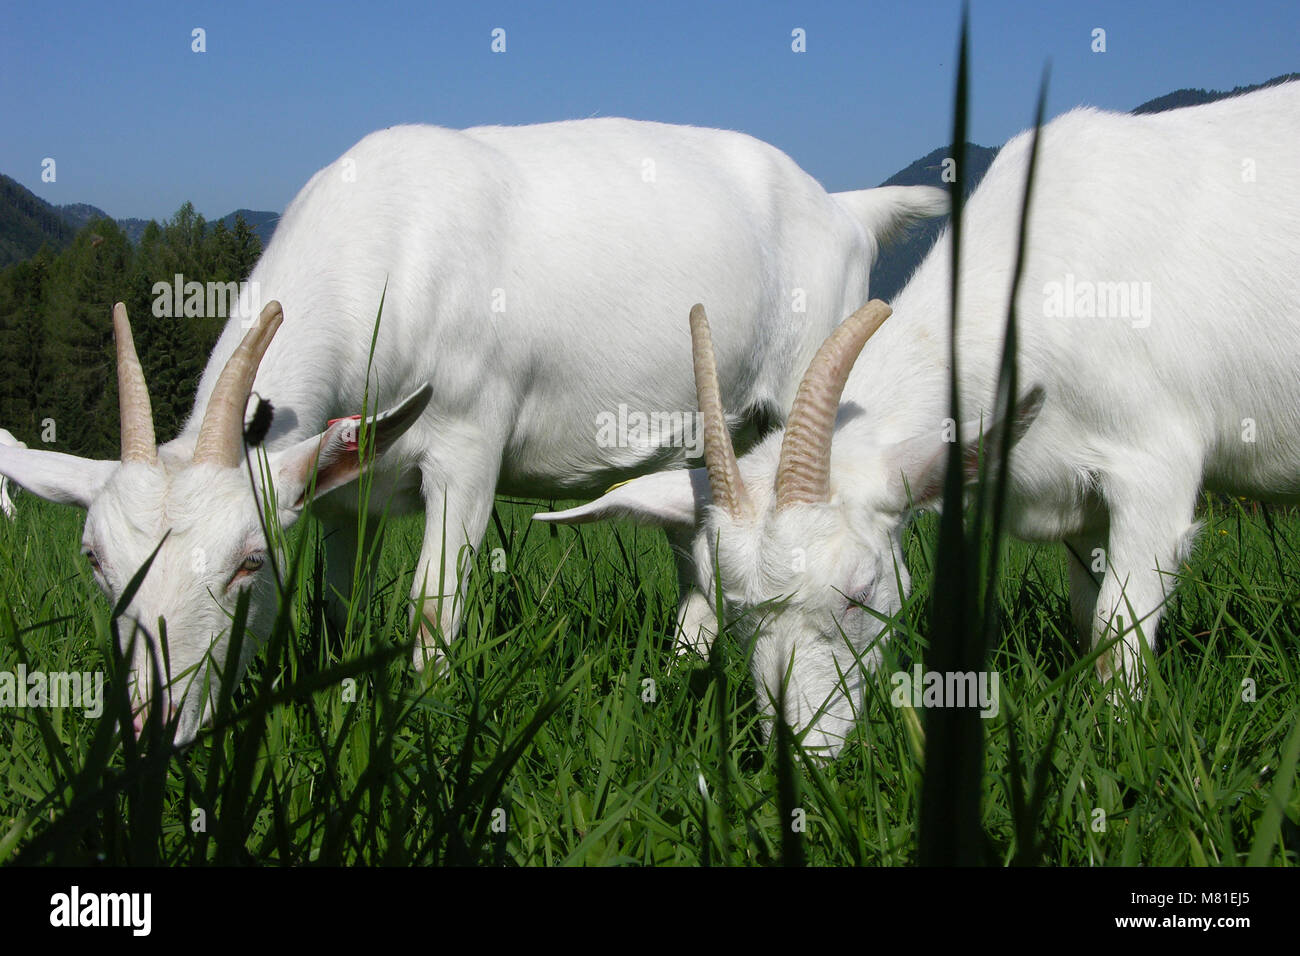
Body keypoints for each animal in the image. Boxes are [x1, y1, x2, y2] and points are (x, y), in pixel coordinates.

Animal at [0, 117, 946, 743]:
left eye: (246, 563)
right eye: (96, 562)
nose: (149, 726)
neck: (387, 244)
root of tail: (847, 207)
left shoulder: (467, 443)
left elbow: (432, 605)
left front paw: (425, 718)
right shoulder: (340, 490)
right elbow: (336, 610)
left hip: (803, 386)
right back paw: (681, 662)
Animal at [536, 82, 1300, 755]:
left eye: (857, 593)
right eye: (731, 609)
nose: (799, 752)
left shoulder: (1152, 467)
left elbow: (1118, 626)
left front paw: (1115, 739)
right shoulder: (1072, 504)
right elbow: (1090, 615)